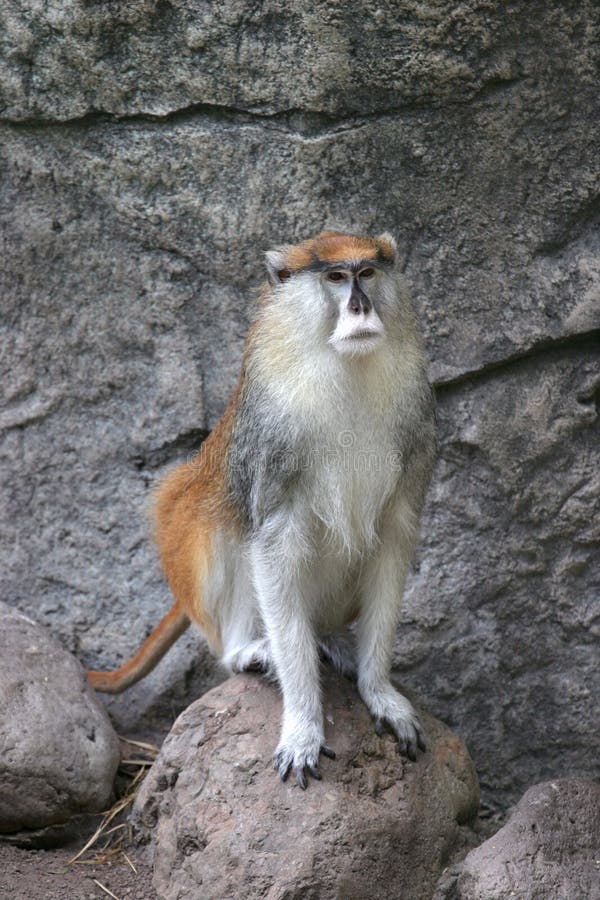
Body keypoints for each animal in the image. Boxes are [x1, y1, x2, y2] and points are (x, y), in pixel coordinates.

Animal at [88, 230, 436, 789]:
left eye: (368, 273)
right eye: (335, 277)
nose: (360, 307)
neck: (345, 367)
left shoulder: (417, 430)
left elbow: (393, 539)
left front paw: (379, 690)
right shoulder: (273, 439)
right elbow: (275, 545)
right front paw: (302, 727)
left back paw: (330, 640)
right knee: (210, 519)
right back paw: (248, 650)